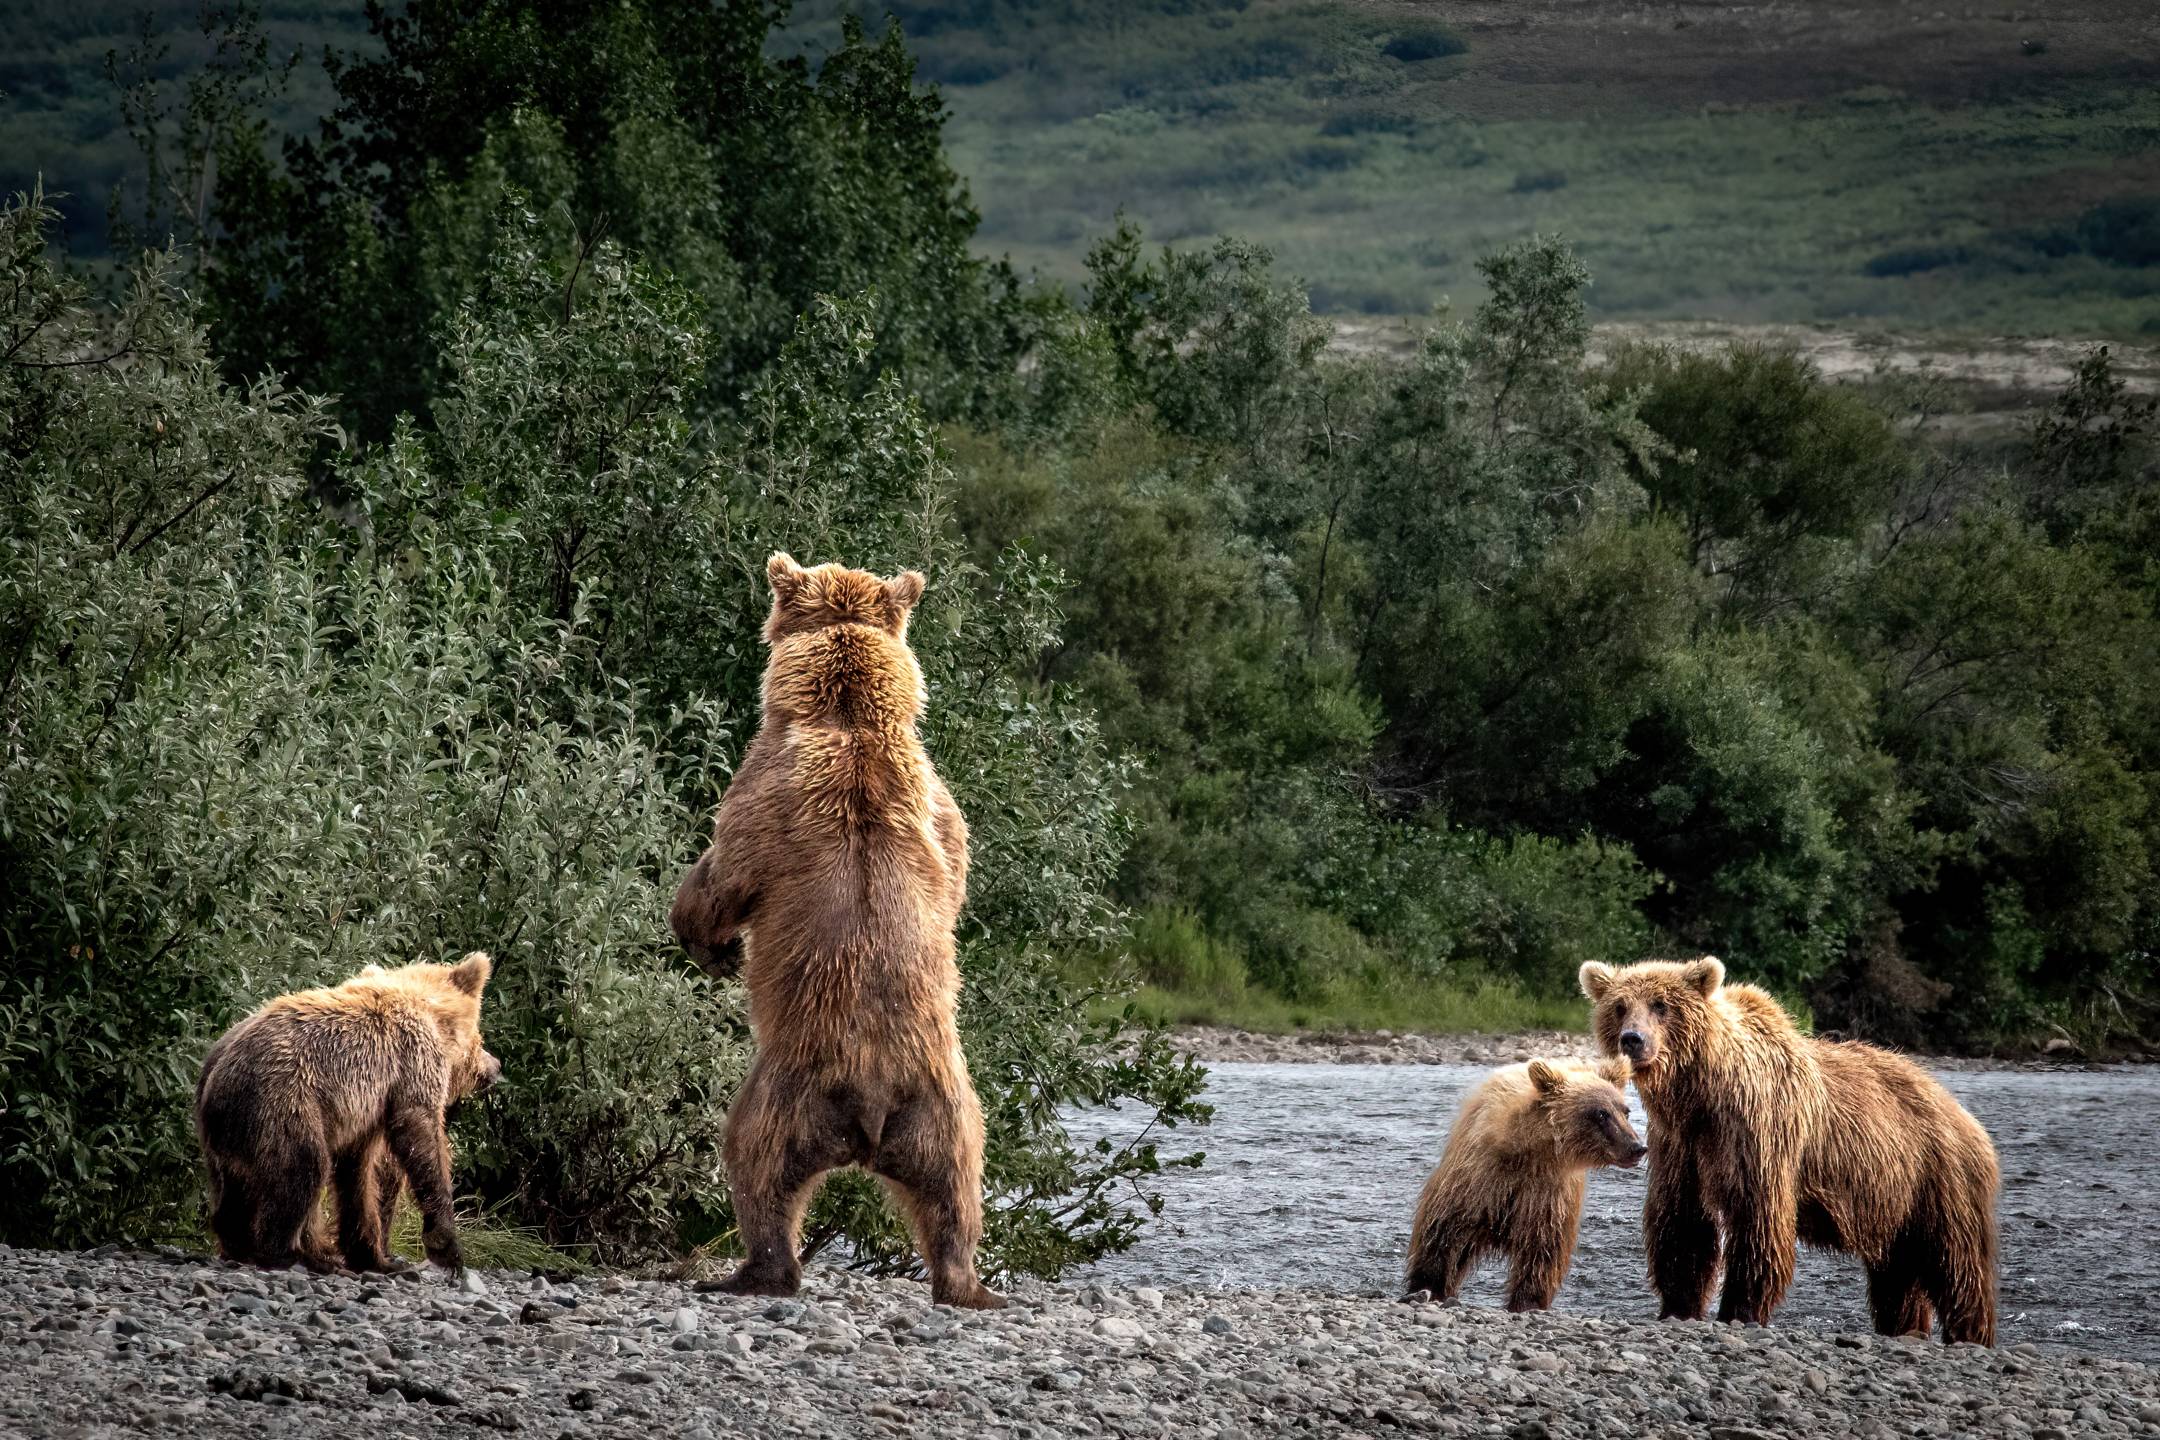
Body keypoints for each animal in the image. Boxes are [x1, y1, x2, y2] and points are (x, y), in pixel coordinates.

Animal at [195, 953, 501, 1275]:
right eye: (480, 1038)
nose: (496, 1065)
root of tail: (215, 1075)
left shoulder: (363, 1111)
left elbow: (357, 1178)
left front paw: (373, 1256)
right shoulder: (410, 1064)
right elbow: (421, 1136)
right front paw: (446, 1247)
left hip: (226, 1137)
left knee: (235, 1188)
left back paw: (240, 1242)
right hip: (284, 1099)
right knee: (302, 1166)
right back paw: (294, 1254)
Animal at [670, 553, 1000, 1309]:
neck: (848, 711)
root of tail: (871, 1109)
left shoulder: (766, 789)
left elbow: (726, 872)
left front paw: (707, 940)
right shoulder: (942, 808)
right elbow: (956, 871)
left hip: (790, 1089)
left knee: (756, 1163)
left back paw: (749, 1272)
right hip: (946, 1113)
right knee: (957, 1192)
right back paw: (968, 1283)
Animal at [1403, 1057, 1646, 1311]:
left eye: (1625, 1111)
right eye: (1601, 1114)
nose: (1637, 1147)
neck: (1530, 1151)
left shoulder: (1547, 1197)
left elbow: (1543, 1253)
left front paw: (1527, 1302)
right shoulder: (1478, 1180)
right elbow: (1444, 1233)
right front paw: (1427, 1287)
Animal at [1579, 956, 1999, 1344]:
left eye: (1661, 1004)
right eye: (1620, 1006)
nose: (1632, 1039)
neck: (1700, 1094)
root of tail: (1963, 1113)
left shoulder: (1759, 1135)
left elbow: (1757, 1223)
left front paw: (1739, 1309)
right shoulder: (1681, 1146)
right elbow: (1683, 1223)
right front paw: (1678, 1306)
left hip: (1940, 1178)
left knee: (1957, 1266)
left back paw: (1970, 1333)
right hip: (1894, 1200)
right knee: (1897, 1273)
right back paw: (1904, 1327)